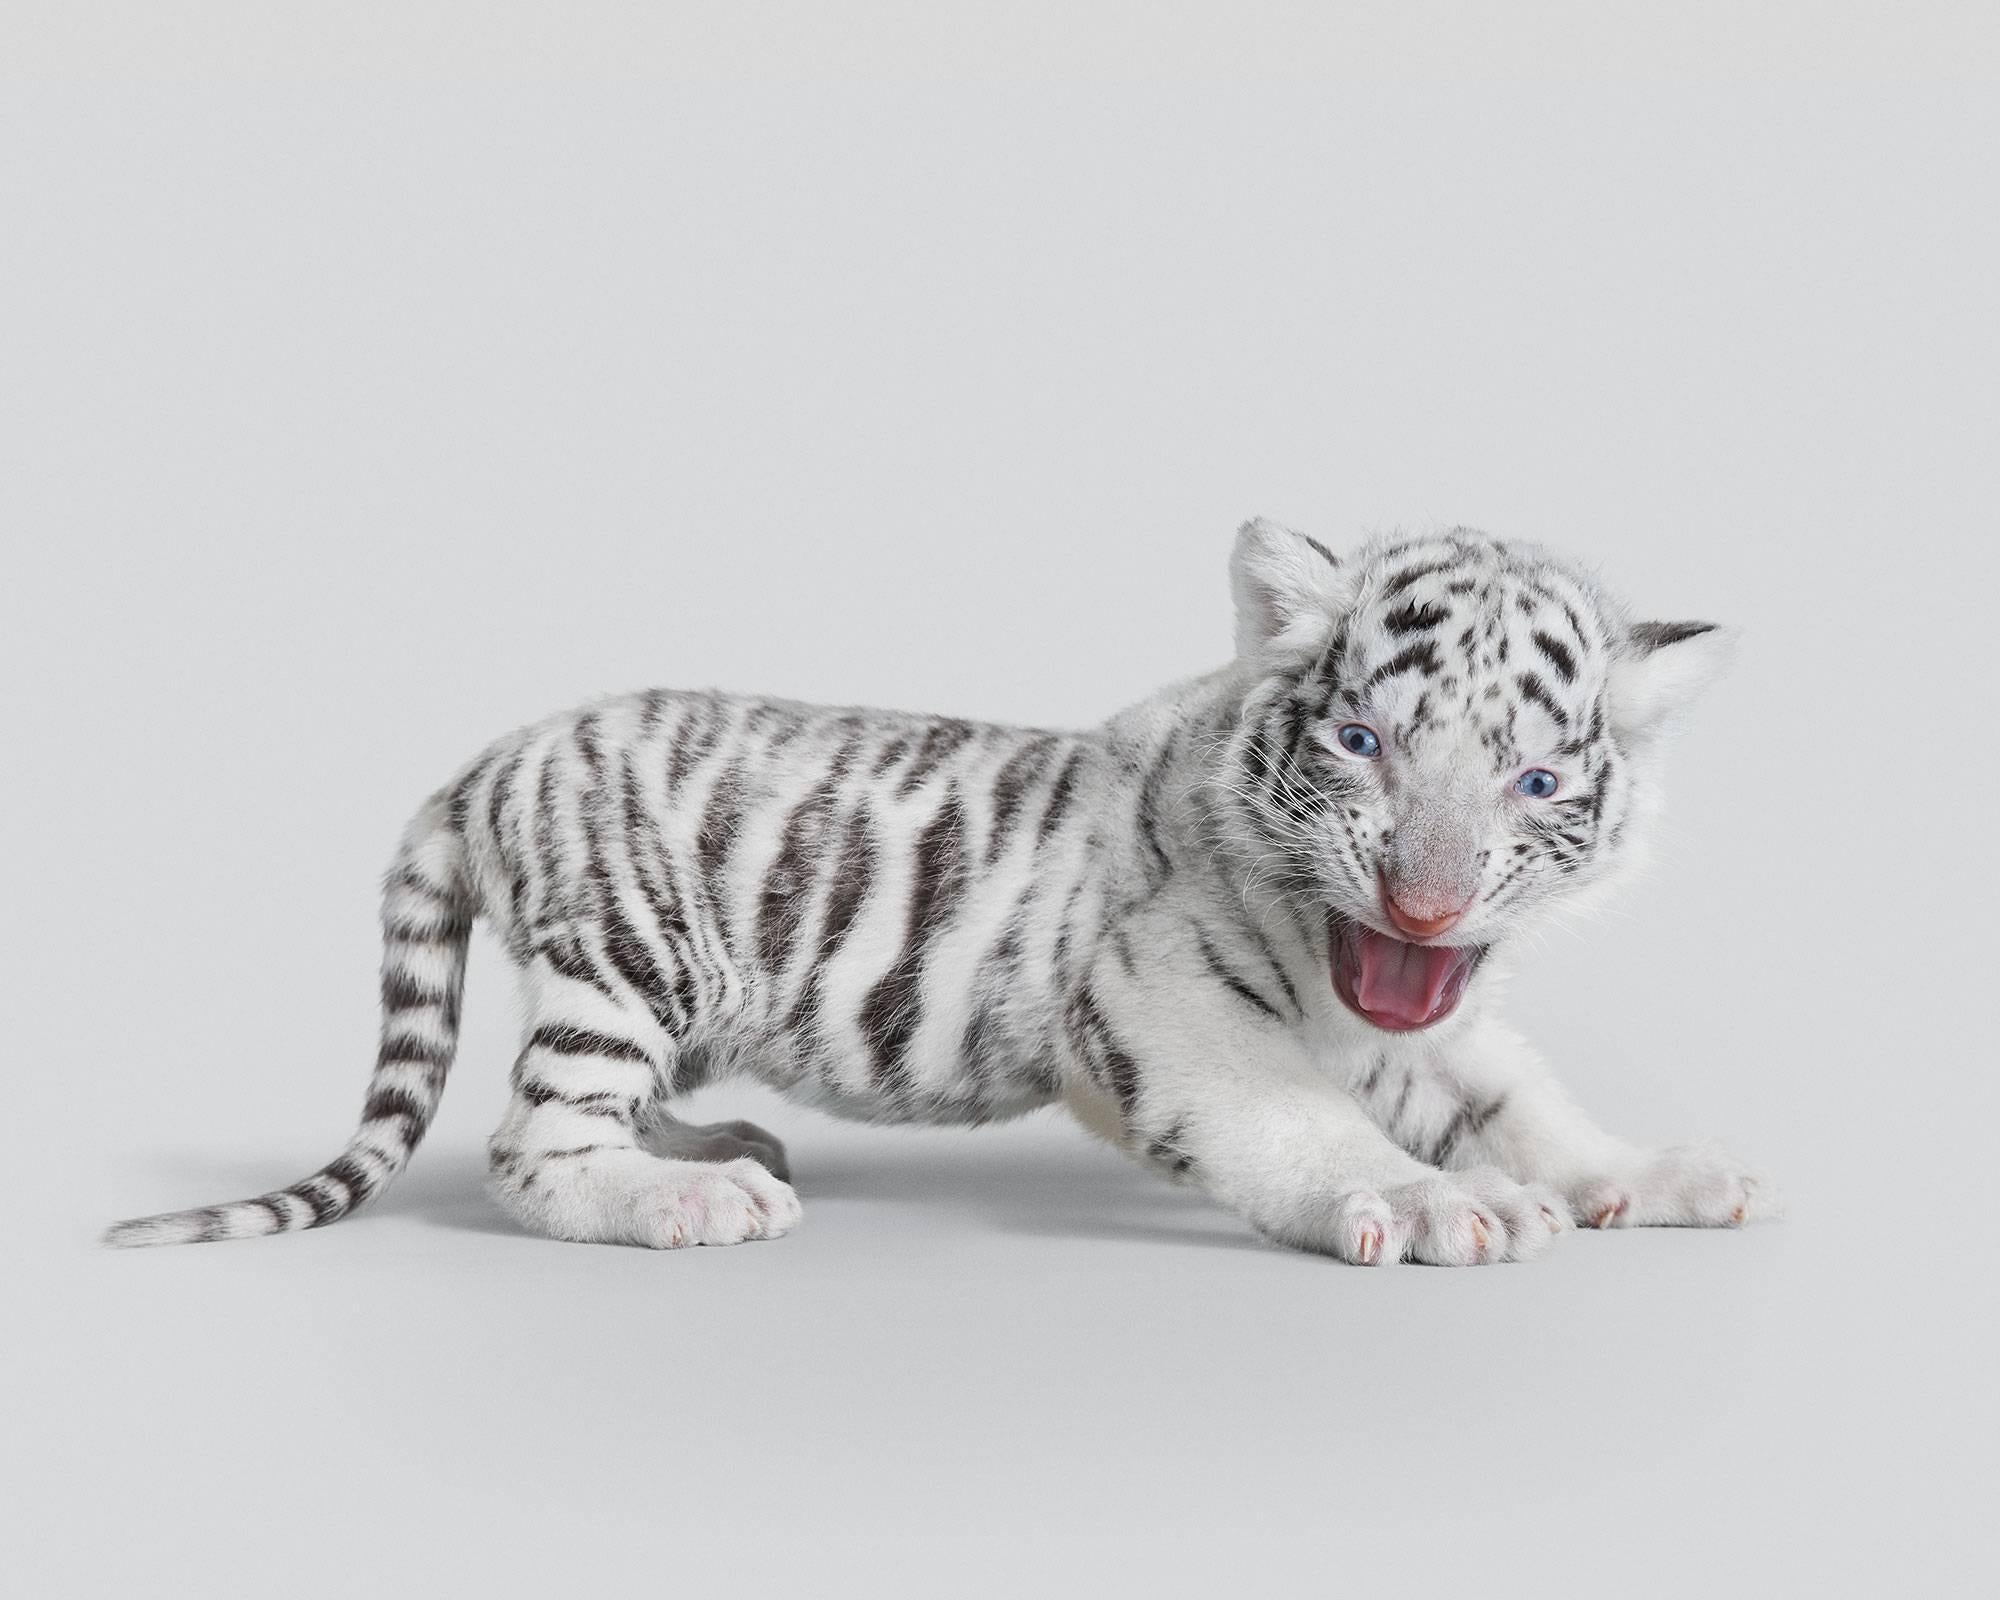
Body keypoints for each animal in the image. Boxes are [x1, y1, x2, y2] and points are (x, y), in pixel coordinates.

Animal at [106, 520, 1773, 1264]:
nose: (1424, 910)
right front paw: (1447, 1203)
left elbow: (1528, 1104)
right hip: (625, 959)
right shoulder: (1174, 1018)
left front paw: (1657, 1172)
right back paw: (688, 1194)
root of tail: (480, 763)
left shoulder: (1429, 1024)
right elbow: (1316, 1129)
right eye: (1363, 745)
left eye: (1532, 784)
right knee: (535, 1141)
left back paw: (710, 1139)